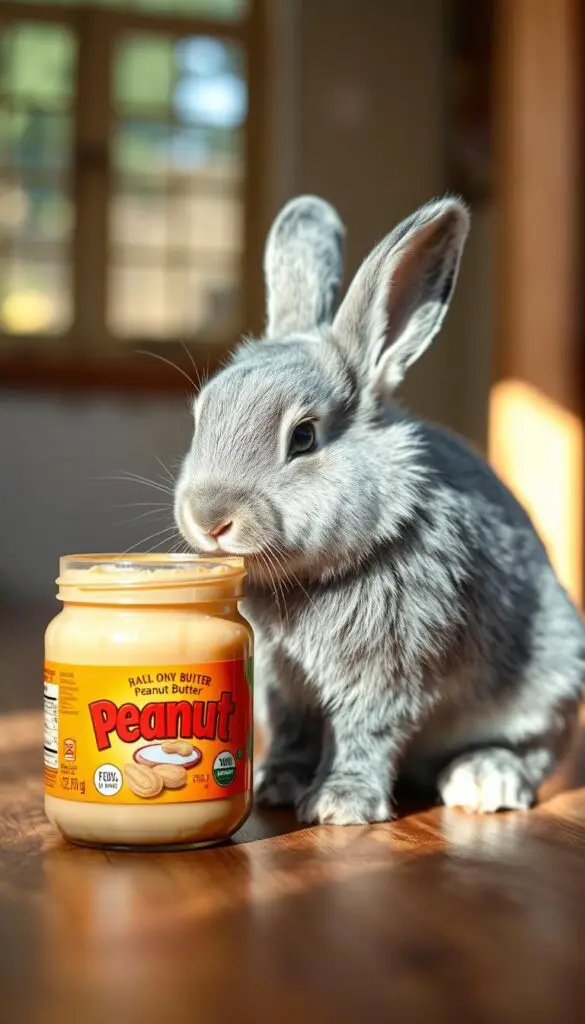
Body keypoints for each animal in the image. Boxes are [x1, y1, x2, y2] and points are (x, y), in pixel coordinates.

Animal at [174, 194, 585, 824]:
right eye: (201, 415)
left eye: (303, 436)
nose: (208, 518)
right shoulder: (282, 683)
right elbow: (293, 733)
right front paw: (275, 784)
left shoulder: (388, 673)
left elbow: (364, 734)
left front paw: (337, 806)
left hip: (551, 683)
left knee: (535, 751)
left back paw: (483, 780)